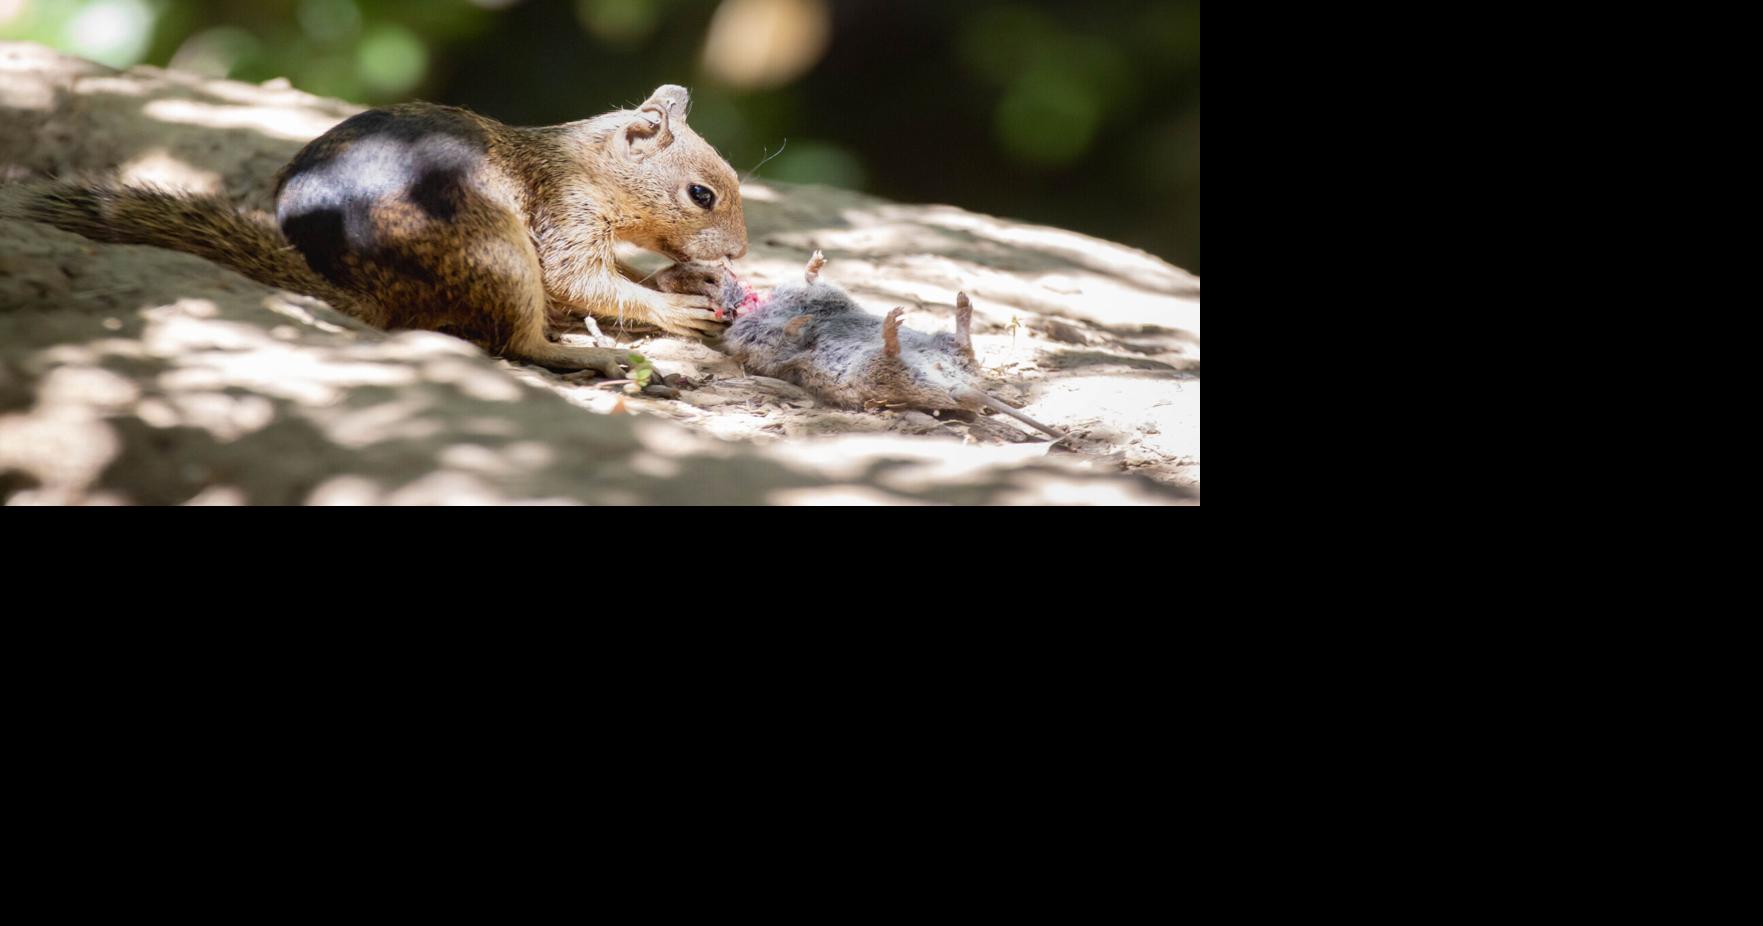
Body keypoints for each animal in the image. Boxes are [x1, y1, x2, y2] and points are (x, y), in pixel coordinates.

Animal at [26, 85, 747, 377]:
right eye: (701, 194)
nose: (741, 251)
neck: (585, 164)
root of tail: (371, 295)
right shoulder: (563, 215)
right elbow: (582, 280)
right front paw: (675, 307)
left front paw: (689, 280)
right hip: (498, 251)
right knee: (516, 342)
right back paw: (585, 354)